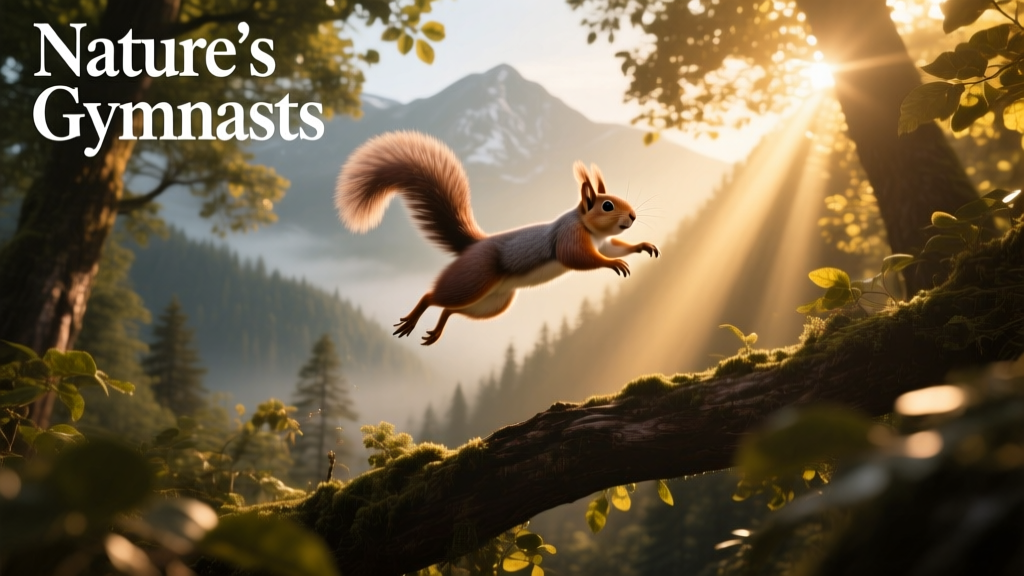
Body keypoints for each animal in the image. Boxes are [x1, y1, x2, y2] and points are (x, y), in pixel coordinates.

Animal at [334, 130, 659, 345]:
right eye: (607, 205)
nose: (632, 216)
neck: (591, 231)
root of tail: (474, 246)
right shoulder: (569, 236)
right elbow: (577, 258)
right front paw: (614, 264)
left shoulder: (604, 241)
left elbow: (617, 246)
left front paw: (642, 246)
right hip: (473, 278)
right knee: (432, 297)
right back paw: (413, 319)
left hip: (492, 302)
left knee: (451, 309)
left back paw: (436, 331)